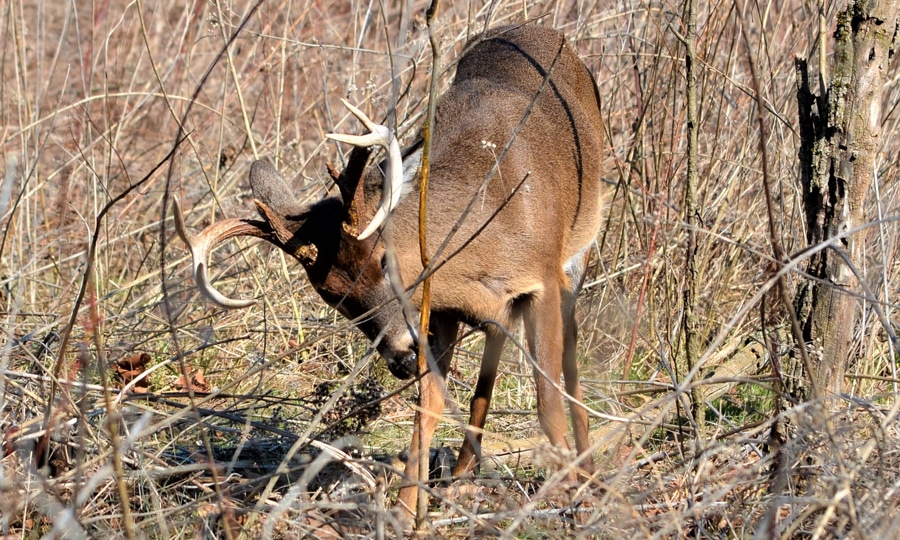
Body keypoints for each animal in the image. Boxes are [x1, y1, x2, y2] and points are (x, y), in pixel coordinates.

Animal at [173, 24, 606, 515]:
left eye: (384, 258)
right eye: (329, 293)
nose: (400, 353)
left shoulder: (543, 278)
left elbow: (548, 400)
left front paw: (569, 493)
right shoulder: (440, 310)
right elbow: (428, 406)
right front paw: (405, 508)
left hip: (578, 256)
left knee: (569, 360)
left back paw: (587, 470)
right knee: (487, 373)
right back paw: (461, 475)